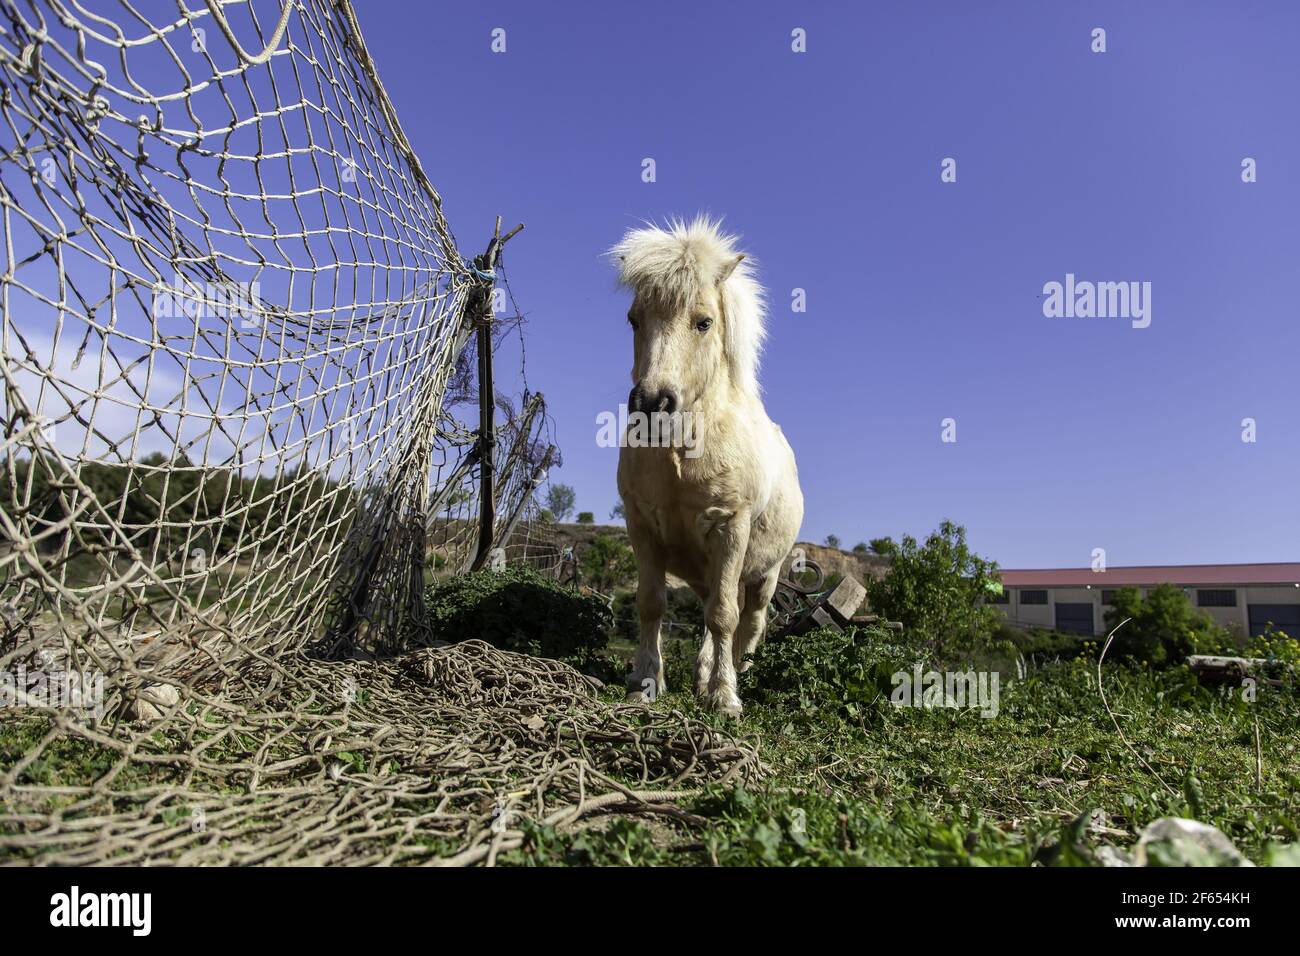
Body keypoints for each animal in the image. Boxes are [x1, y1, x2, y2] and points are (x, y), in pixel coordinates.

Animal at [609, 216, 804, 716]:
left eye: (704, 322)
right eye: (633, 319)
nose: (653, 405)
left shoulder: (731, 528)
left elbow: (725, 618)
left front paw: (725, 697)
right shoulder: (642, 526)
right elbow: (652, 604)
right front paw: (644, 683)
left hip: (765, 574)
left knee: (746, 623)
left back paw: (737, 675)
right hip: (702, 569)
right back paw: (701, 675)